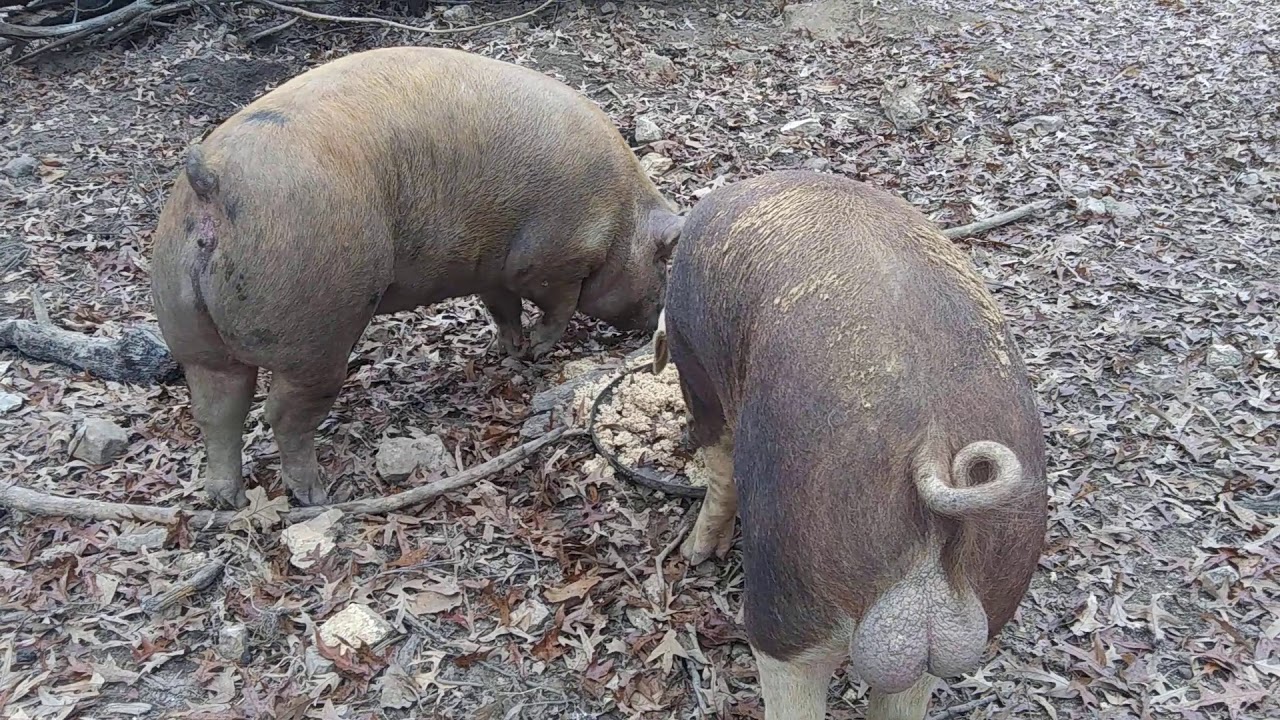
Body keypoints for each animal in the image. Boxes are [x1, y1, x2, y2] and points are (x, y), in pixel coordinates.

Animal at [150, 47, 684, 509]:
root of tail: (209, 181)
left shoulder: (489, 269)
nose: (656, 323)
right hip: (316, 326)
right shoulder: (552, 261)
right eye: (663, 261)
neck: (618, 218)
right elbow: (556, 308)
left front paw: (510, 350)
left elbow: (502, 309)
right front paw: (536, 350)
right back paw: (316, 497)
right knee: (280, 414)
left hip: (189, 329)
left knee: (217, 409)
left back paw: (226, 501)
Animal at [651, 170, 1047, 720]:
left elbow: (719, 464)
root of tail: (932, 456)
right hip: (990, 586)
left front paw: (695, 553)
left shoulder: (698, 370)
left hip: (791, 600)